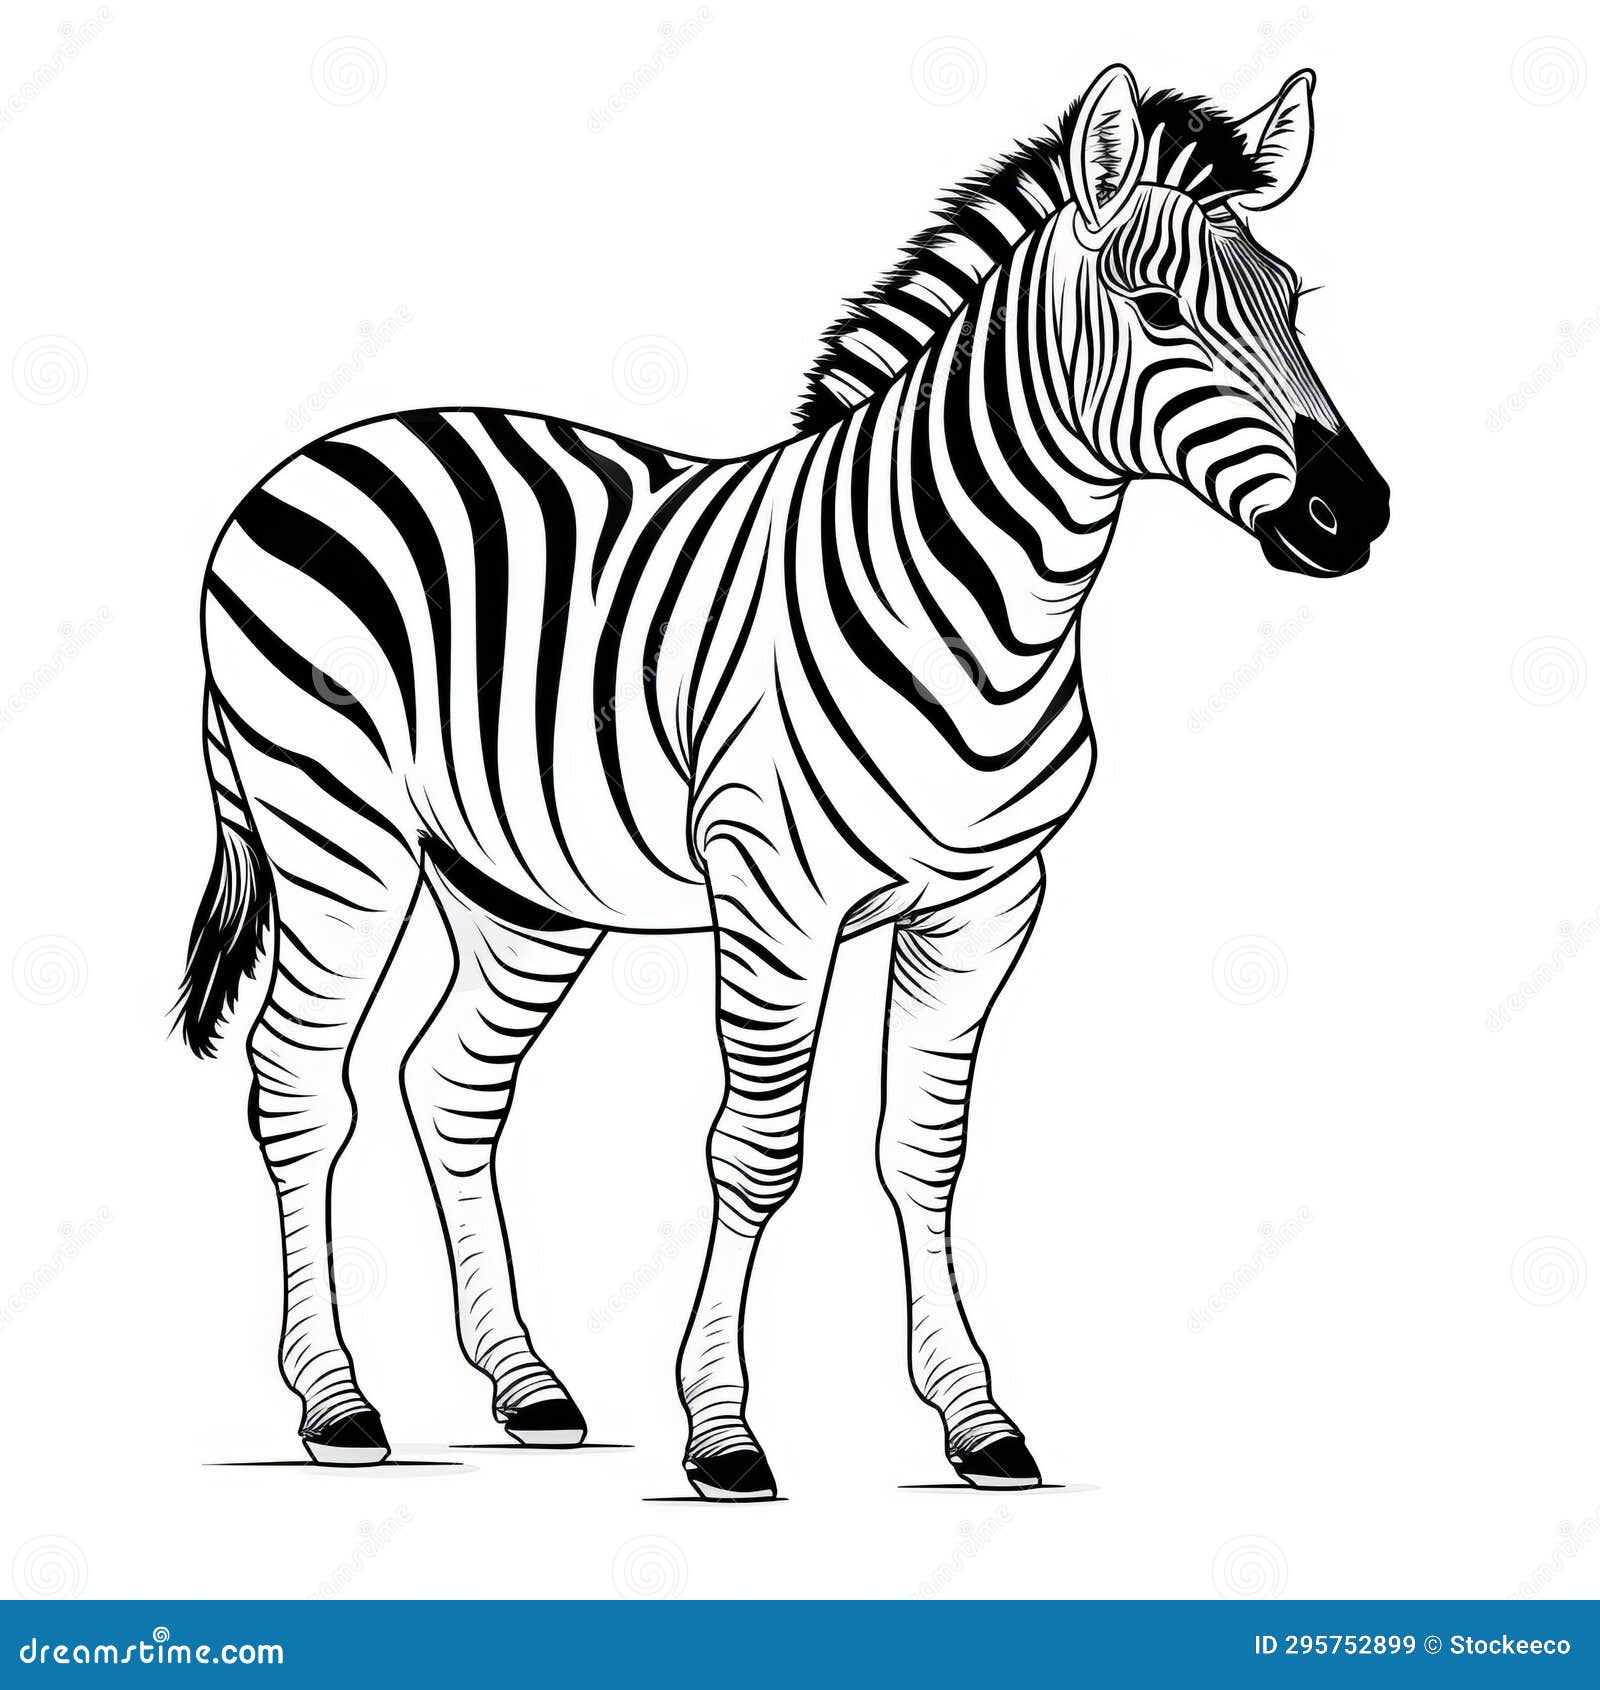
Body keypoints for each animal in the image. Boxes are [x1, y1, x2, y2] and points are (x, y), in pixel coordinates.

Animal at [177, 63, 1389, 1499]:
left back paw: (523, 1383)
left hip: (519, 885)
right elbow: (755, 1154)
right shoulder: (774, 899)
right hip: (333, 829)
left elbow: (924, 1152)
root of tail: (326, 447)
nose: (1357, 515)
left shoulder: (986, 904)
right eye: (1156, 310)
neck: (988, 608)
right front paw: (721, 1429)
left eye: (1295, 302)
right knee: (299, 1081)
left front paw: (975, 1418)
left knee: (452, 1084)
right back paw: (336, 1402)